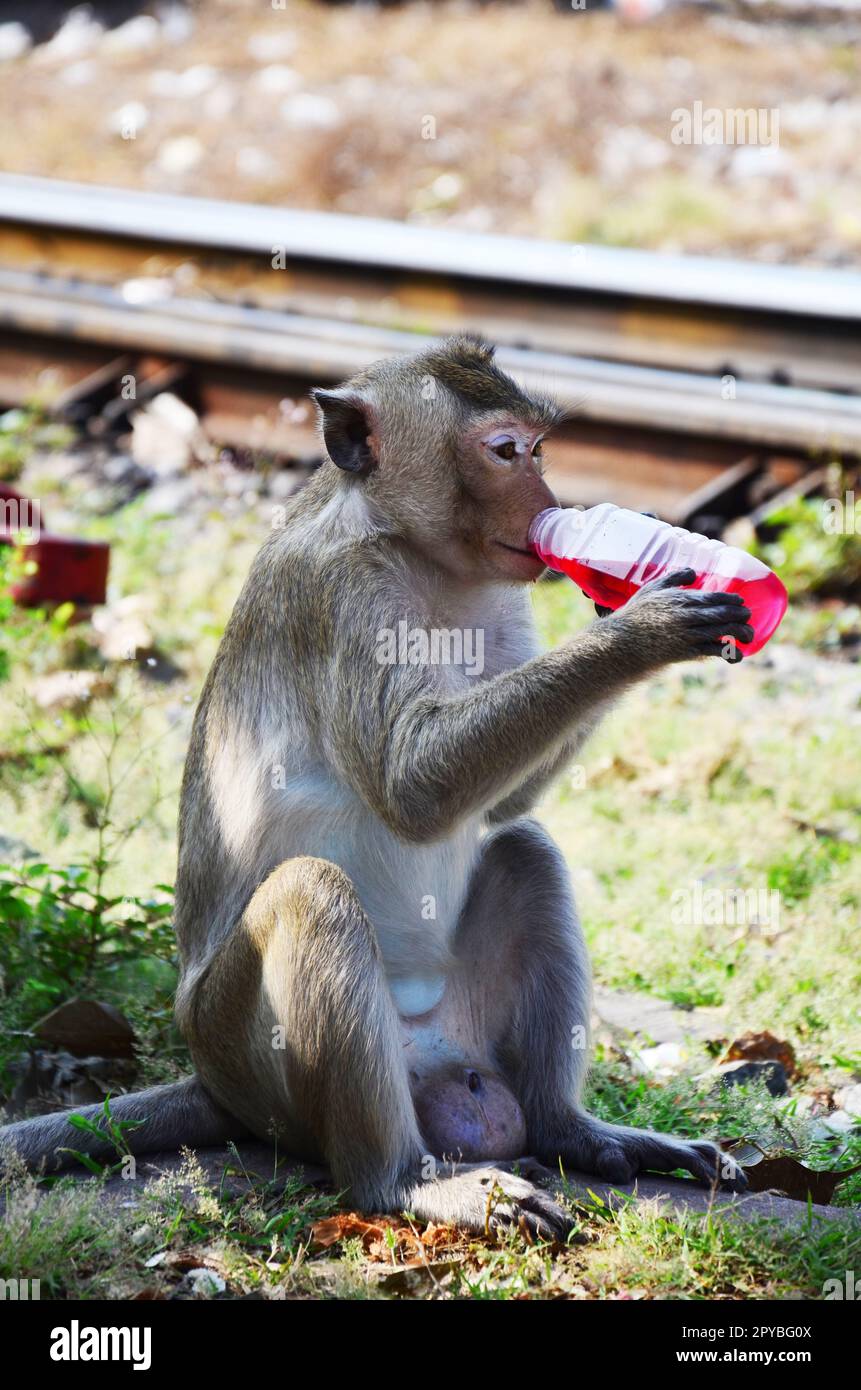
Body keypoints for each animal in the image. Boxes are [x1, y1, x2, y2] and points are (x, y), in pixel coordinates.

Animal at [0, 336, 751, 1239]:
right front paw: (642, 627)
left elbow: (502, 808)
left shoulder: (499, 591)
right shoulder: (344, 595)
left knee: (525, 850)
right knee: (314, 895)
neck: (407, 543)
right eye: (506, 452)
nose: (549, 500)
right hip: (250, 1055)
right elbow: (411, 786)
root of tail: (214, 1083)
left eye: (537, 451)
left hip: (459, 1032)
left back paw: (573, 1131)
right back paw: (402, 1181)